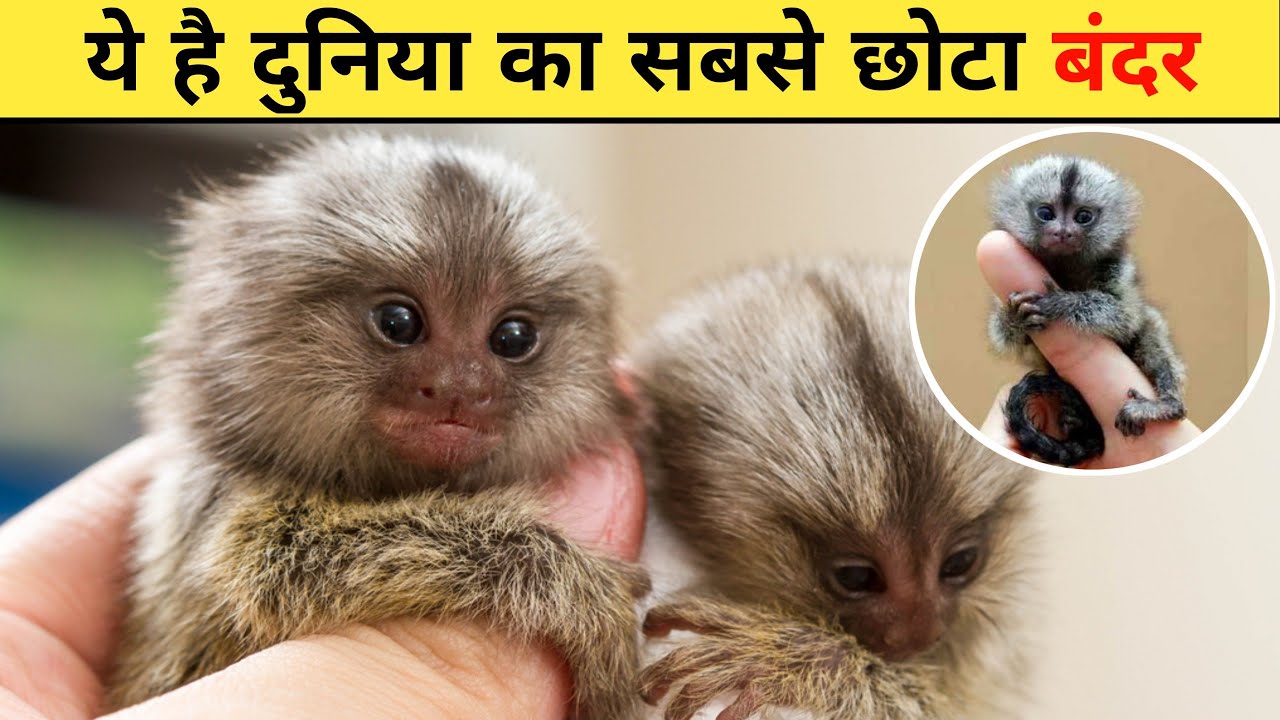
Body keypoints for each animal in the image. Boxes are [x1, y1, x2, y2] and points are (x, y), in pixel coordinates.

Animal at [107, 134, 646, 719]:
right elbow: (272, 566)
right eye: (398, 322)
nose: (459, 387)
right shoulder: (215, 501)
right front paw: (578, 589)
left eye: (513, 337)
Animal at [987, 154, 1187, 466]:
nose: (1062, 232)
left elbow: (1126, 318)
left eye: (1083, 217)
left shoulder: (1117, 269)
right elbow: (1006, 338)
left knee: (1150, 326)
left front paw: (1061, 303)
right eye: (1046, 213)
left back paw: (1168, 405)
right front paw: (1013, 319)